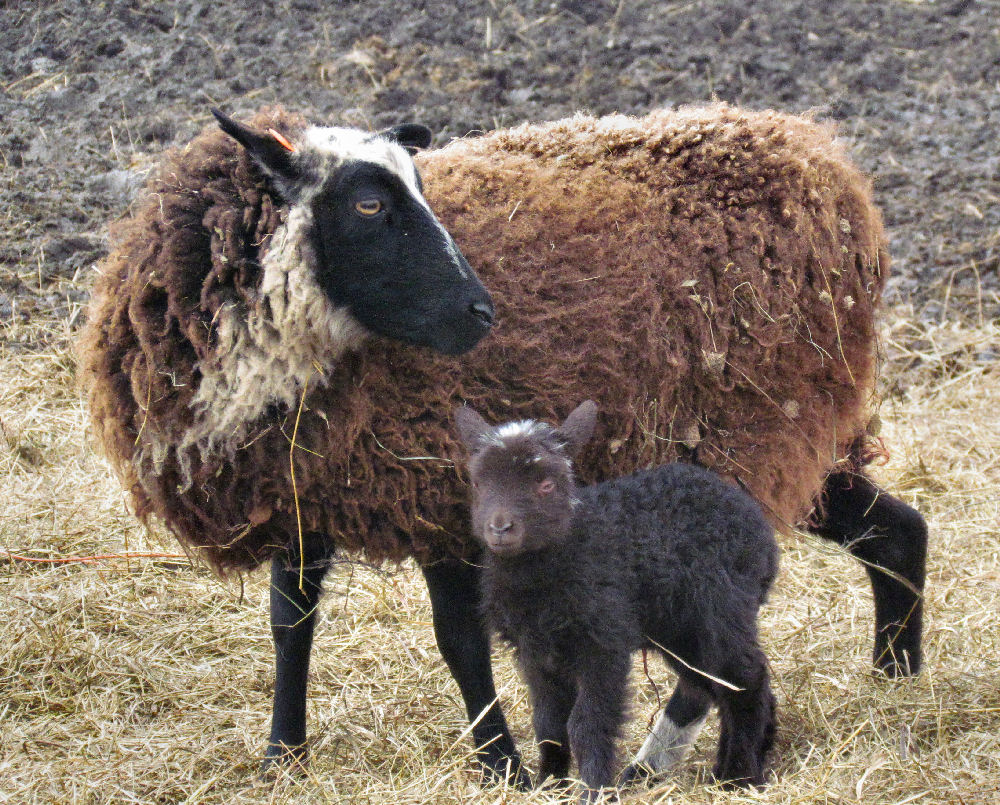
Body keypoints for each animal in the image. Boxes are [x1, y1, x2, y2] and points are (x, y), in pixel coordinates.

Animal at [454, 400, 779, 797]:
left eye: (546, 484)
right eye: (478, 483)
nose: (500, 528)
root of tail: (759, 528)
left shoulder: (604, 641)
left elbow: (587, 724)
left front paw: (593, 790)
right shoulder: (535, 650)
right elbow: (548, 725)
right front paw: (549, 785)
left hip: (722, 610)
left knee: (745, 678)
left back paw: (739, 776)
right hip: (679, 627)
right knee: (709, 683)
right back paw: (737, 764)